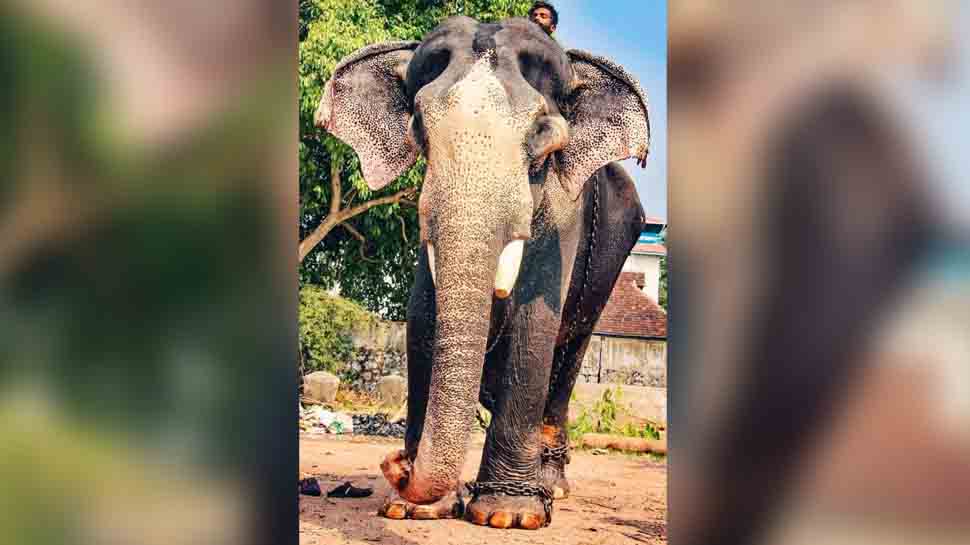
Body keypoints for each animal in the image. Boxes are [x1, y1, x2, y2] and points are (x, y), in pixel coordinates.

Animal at [314, 16, 651, 529]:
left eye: (542, 136)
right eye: (419, 129)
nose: (396, 463)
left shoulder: (564, 215)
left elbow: (535, 322)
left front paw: (507, 515)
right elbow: (422, 317)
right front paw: (413, 509)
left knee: (568, 356)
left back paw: (551, 487)